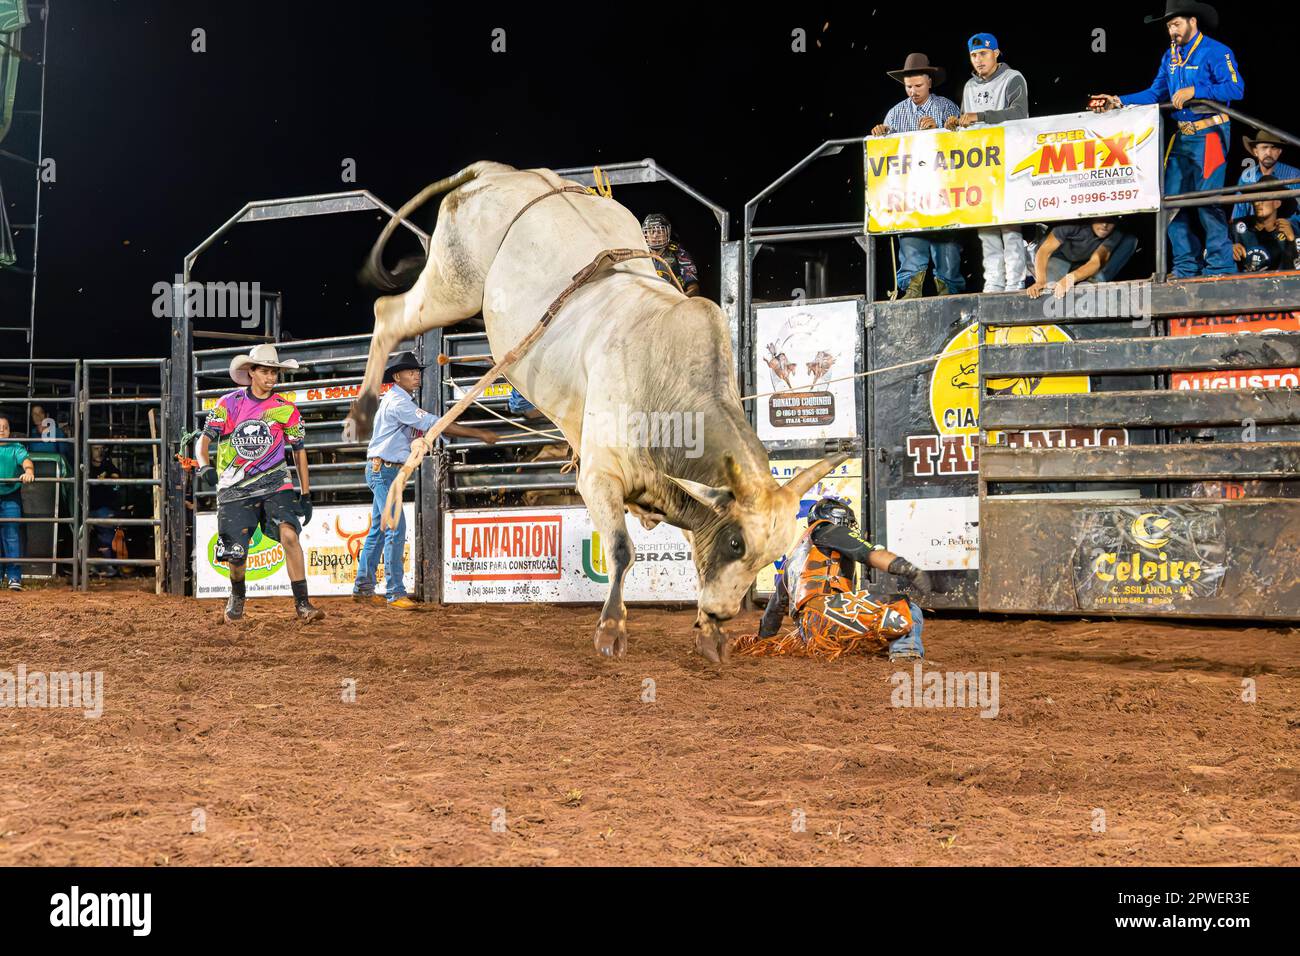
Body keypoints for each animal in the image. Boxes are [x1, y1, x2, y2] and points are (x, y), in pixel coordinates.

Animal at [346, 161, 845, 662]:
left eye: (770, 554)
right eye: (736, 541)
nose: (722, 611)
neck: (665, 385)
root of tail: (501, 172)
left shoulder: (681, 490)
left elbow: (690, 542)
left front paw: (708, 634)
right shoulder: (599, 476)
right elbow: (623, 550)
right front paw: (611, 629)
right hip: (454, 283)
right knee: (388, 313)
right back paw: (360, 414)